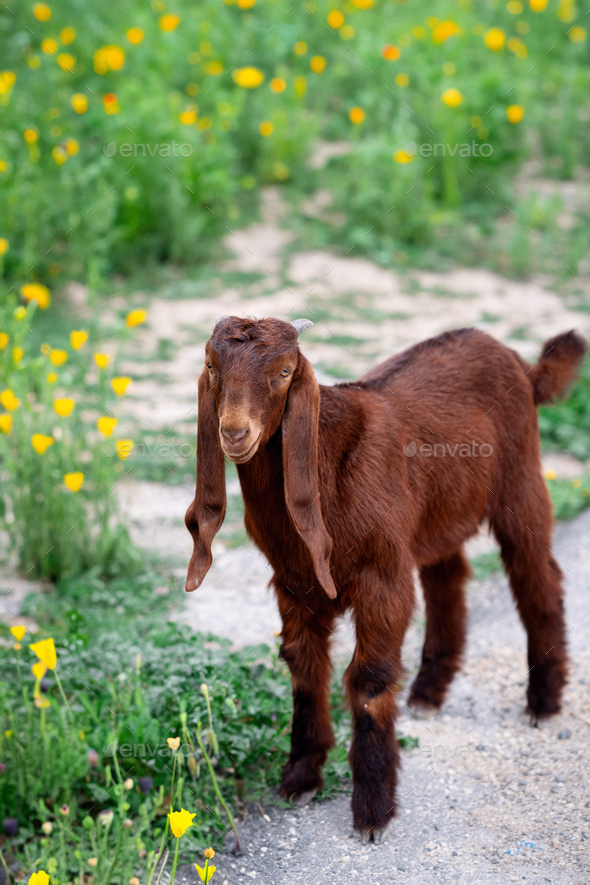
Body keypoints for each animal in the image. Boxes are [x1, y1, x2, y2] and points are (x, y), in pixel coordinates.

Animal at [185, 317, 586, 840]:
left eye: (285, 372)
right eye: (211, 366)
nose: (234, 432)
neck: (328, 461)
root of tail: (517, 360)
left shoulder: (384, 578)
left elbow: (370, 679)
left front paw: (374, 808)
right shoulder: (291, 581)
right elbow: (304, 667)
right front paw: (301, 775)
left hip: (520, 483)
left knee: (536, 575)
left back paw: (543, 700)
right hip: (438, 513)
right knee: (448, 579)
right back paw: (429, 691)